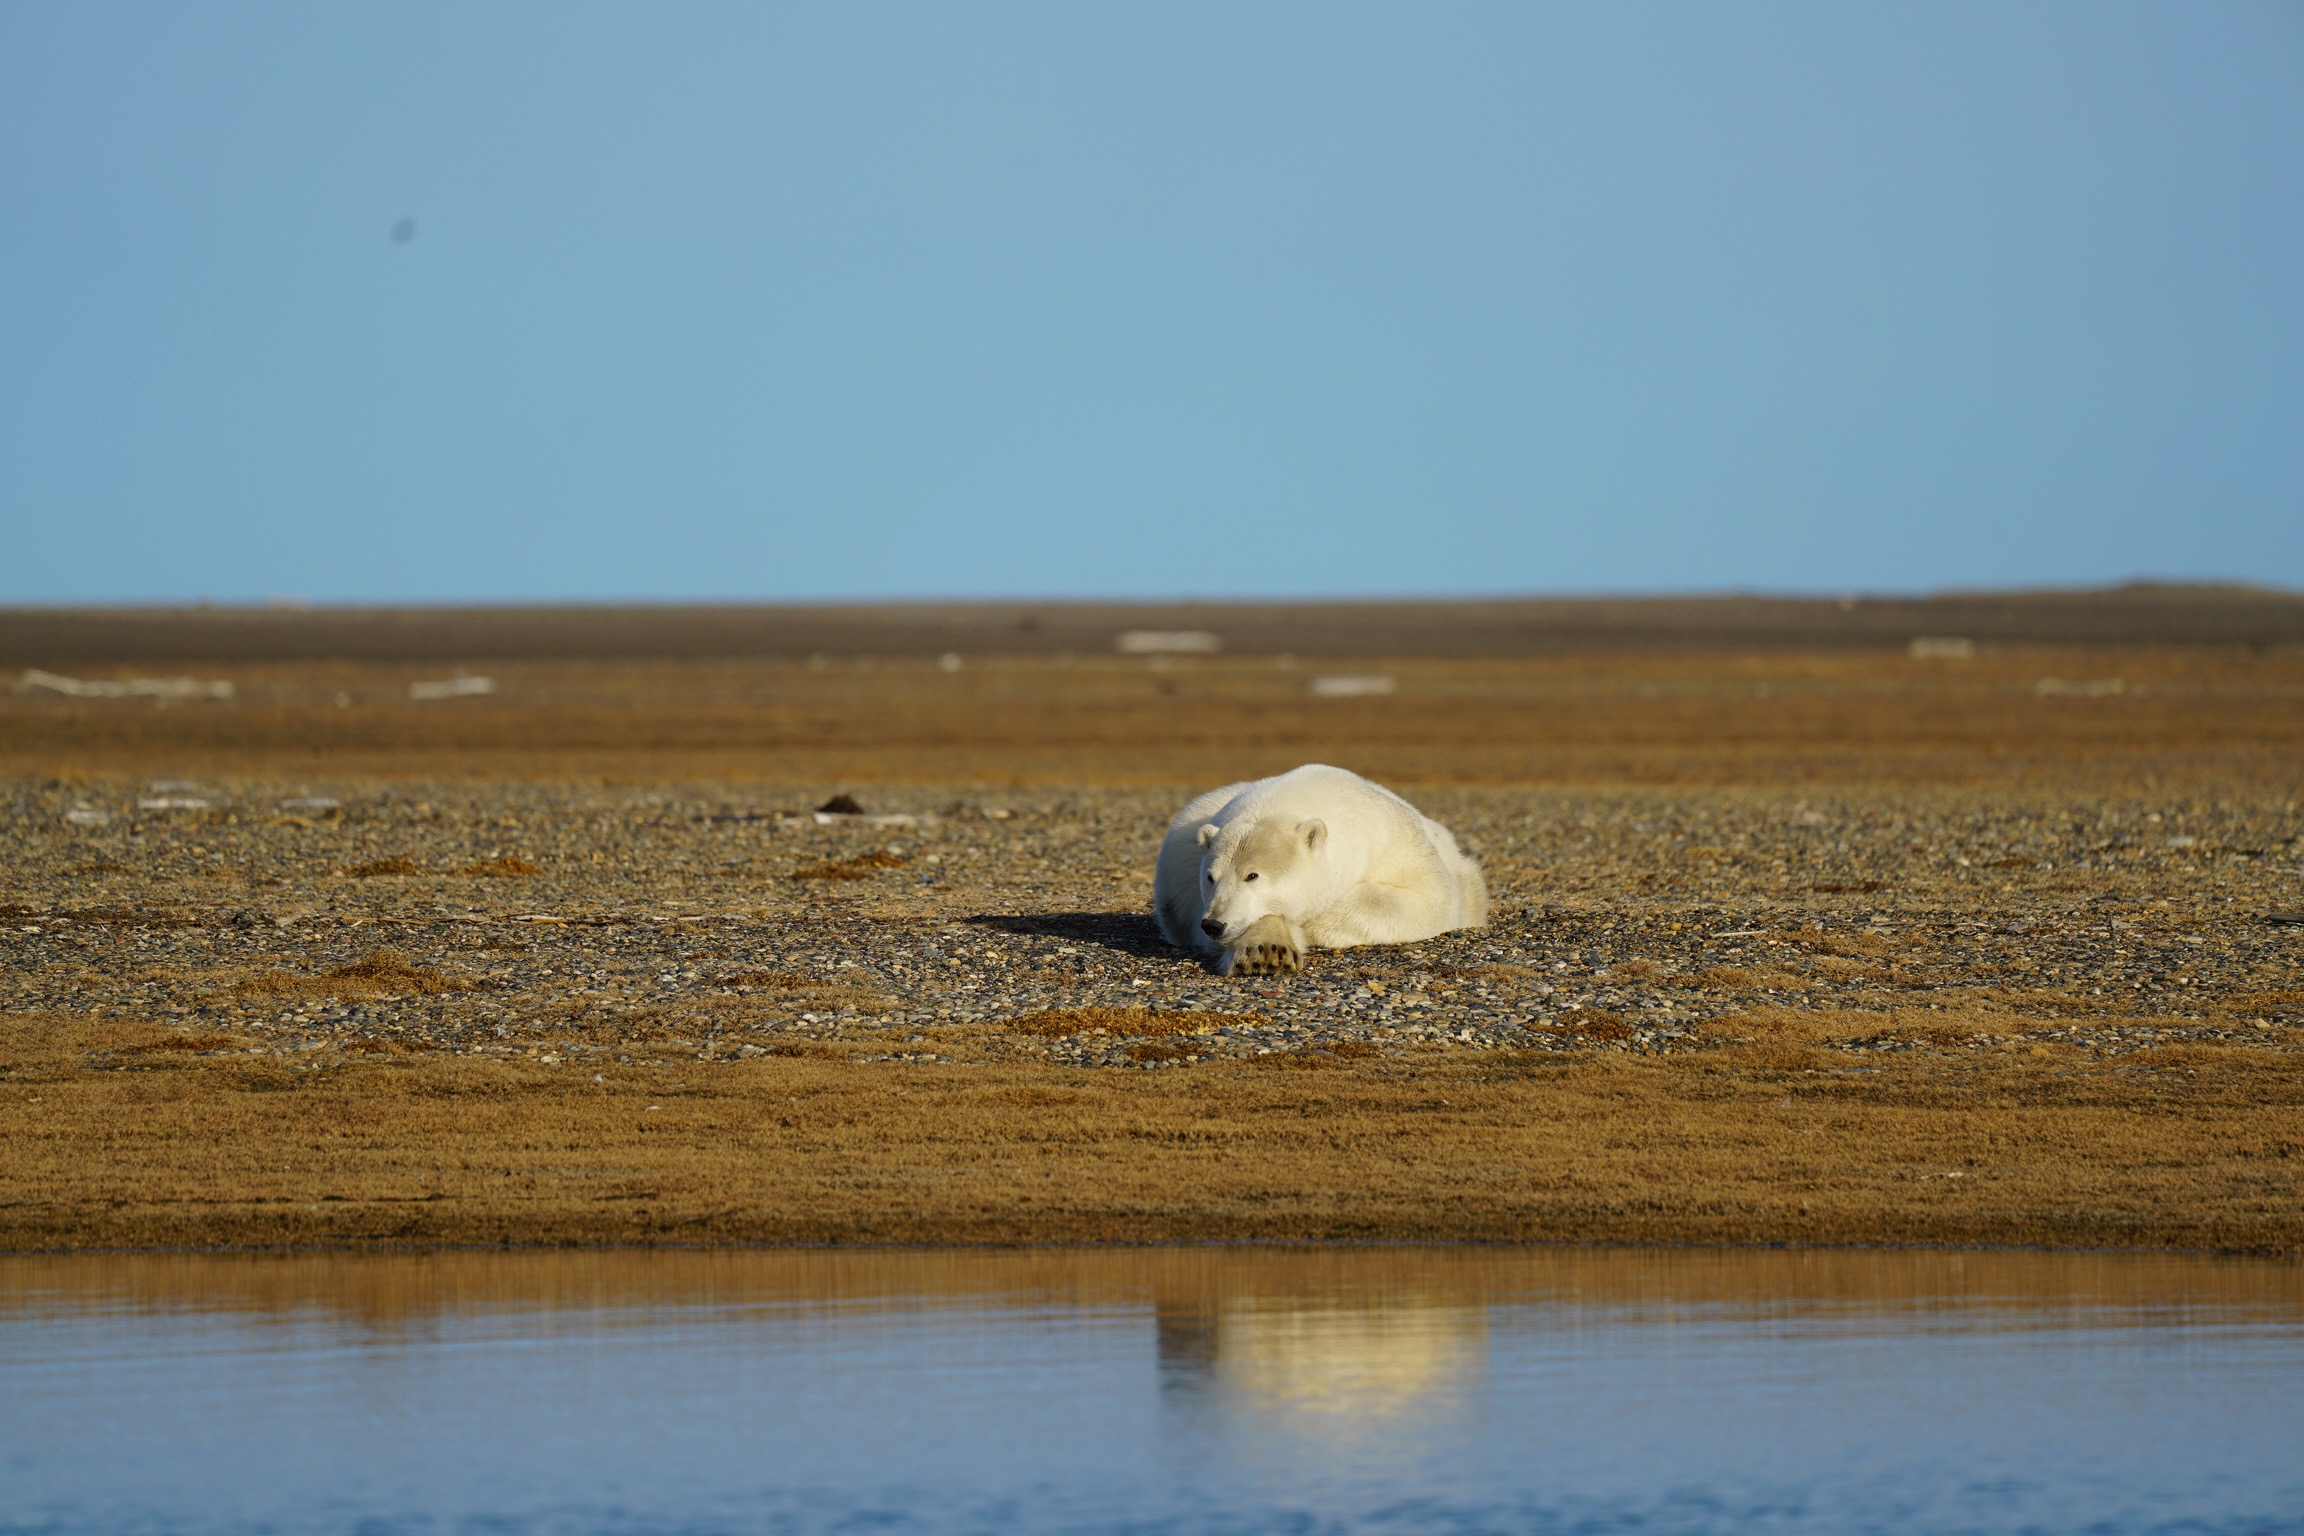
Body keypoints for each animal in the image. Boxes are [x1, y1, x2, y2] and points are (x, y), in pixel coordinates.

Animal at [1153, 763, 1488, 975]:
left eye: (1252, 875)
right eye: (1210, 877)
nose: (1214, 924)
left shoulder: (1399, 845)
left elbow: (1427, 898)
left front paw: (1308, 927)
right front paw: (1265, 951)